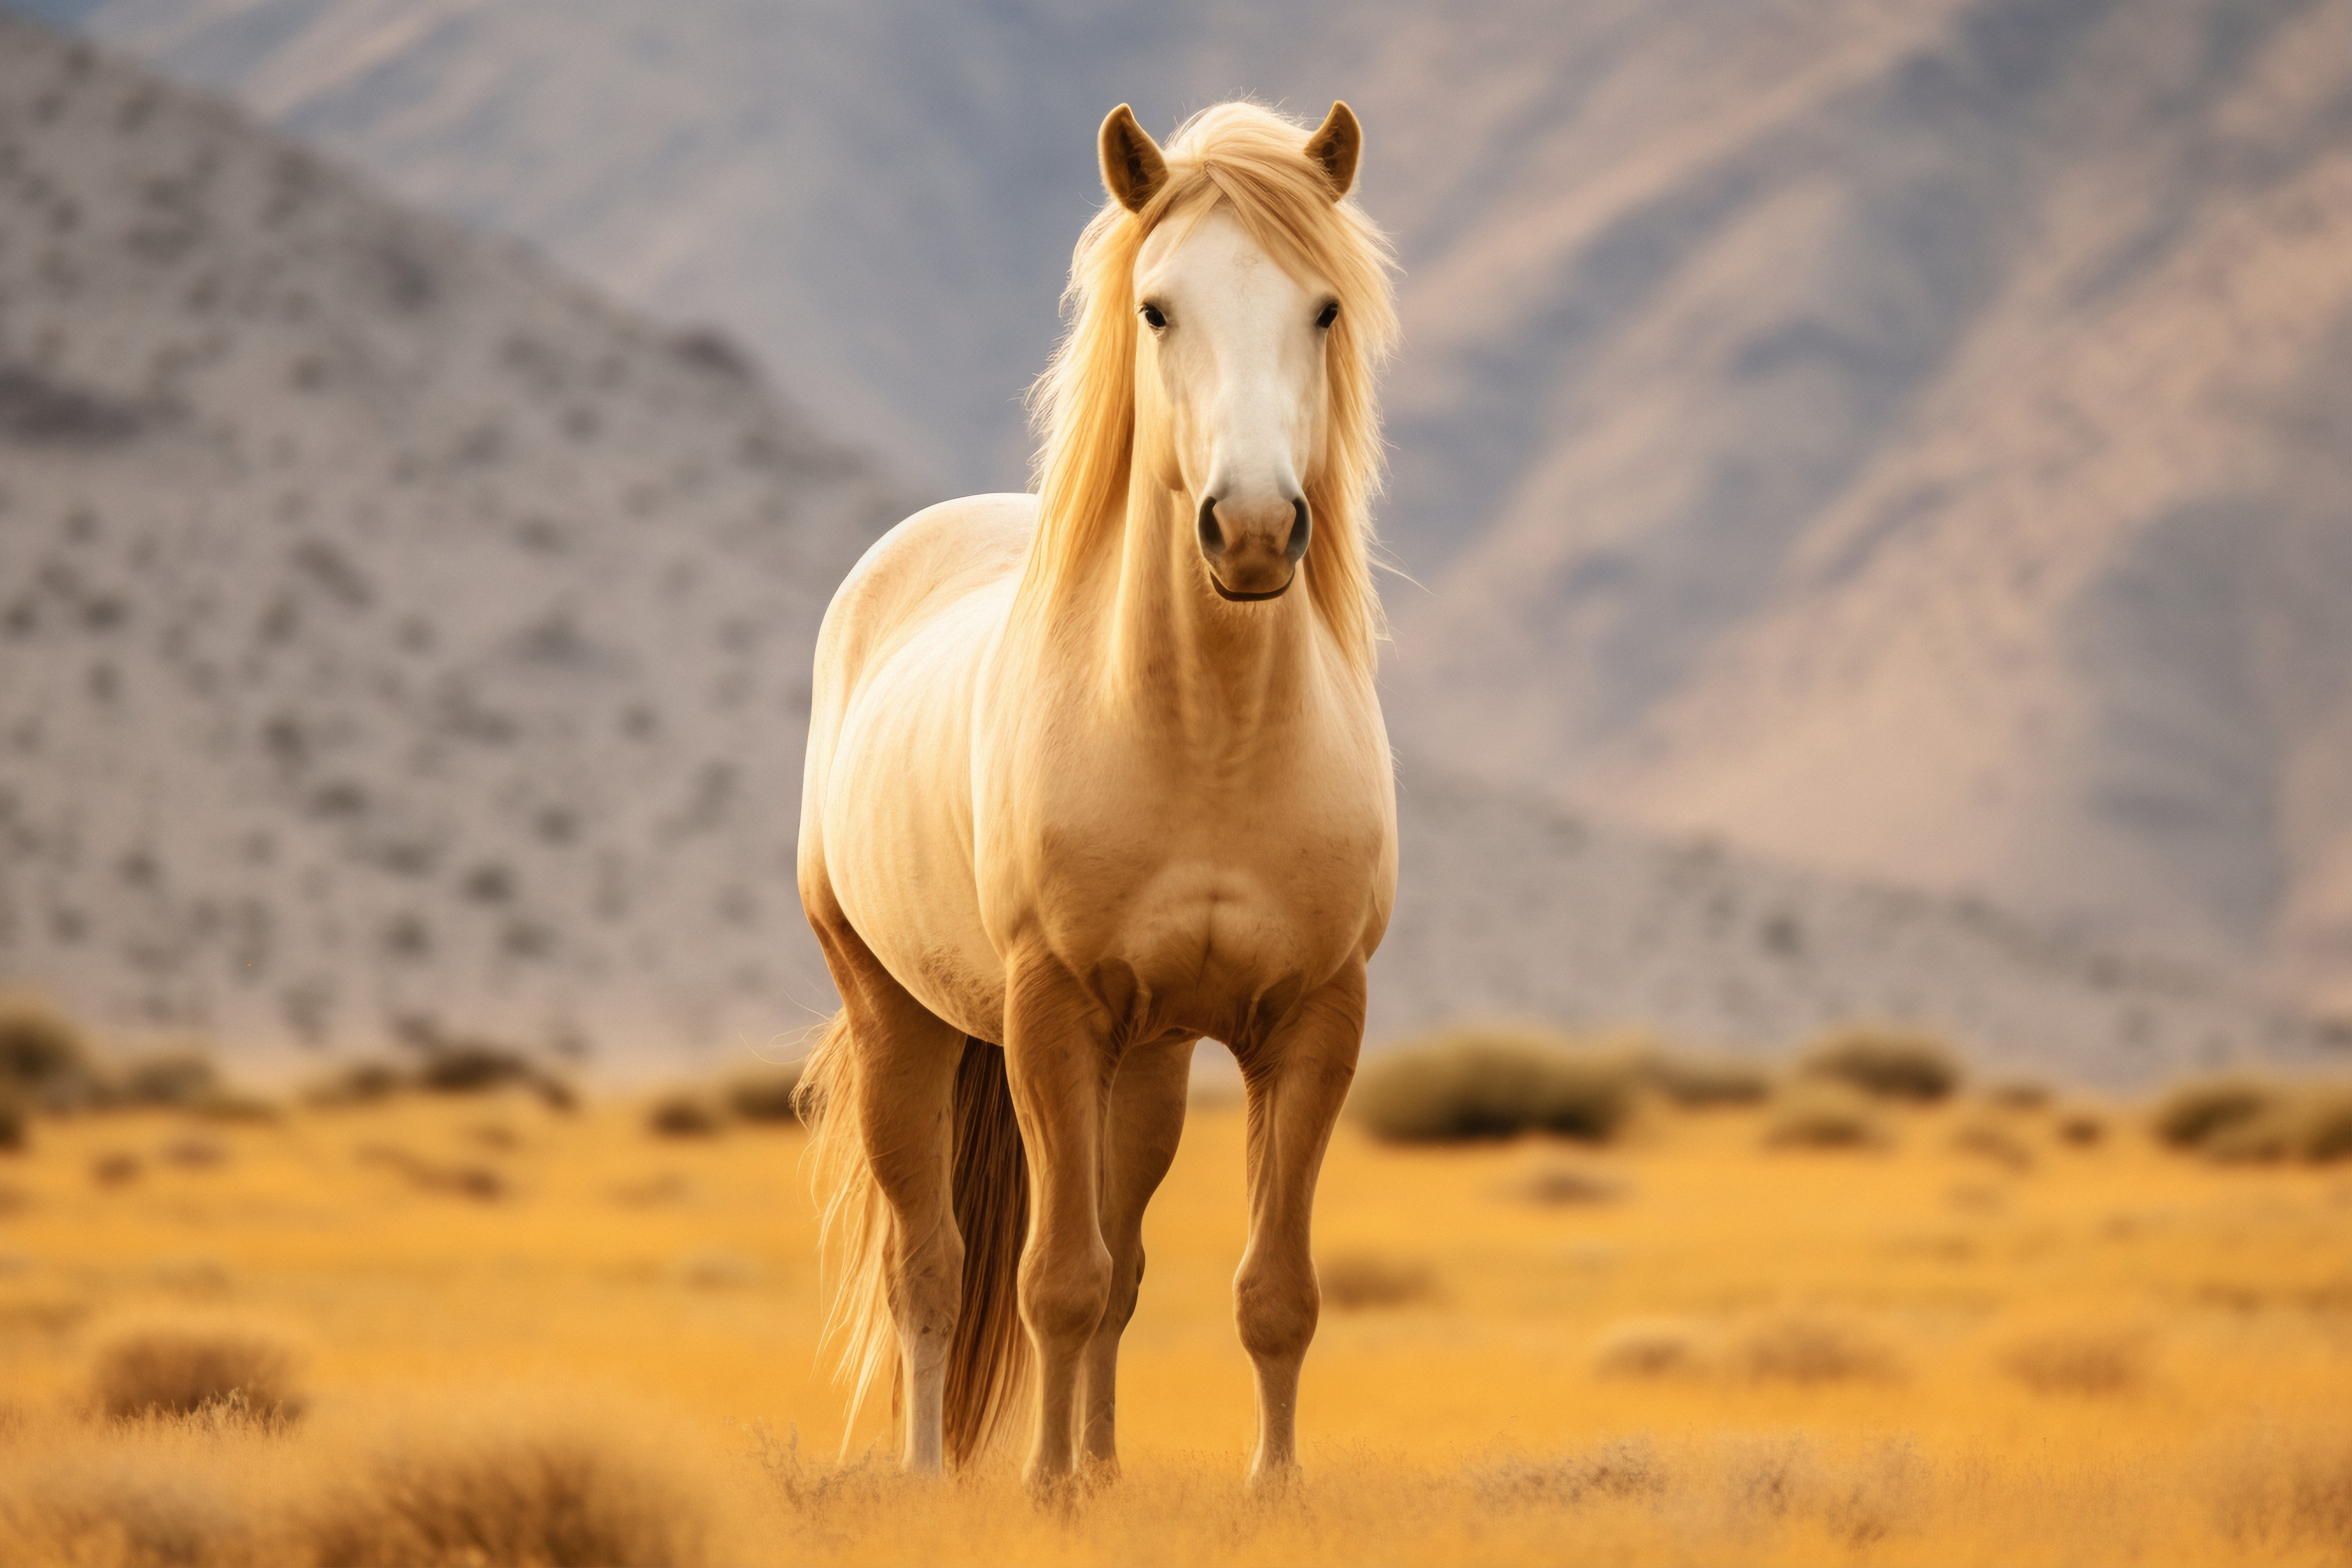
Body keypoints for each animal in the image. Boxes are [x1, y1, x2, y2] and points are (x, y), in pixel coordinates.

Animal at [792, 98, 1400, 1486]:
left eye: (1324, 308)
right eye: (1158, 309)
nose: (1250, 531)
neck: (1210, 744)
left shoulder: (1315, 1022)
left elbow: (1264, 1293)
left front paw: (1265, 1493)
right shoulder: (1051, 1015)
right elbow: (1050, 1282)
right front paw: (1044, 1496)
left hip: (1153, 1062)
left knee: (1115, 1266)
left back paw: (1101, 1469)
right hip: (901, 1019)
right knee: (934, 1267)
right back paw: (937, 1477)